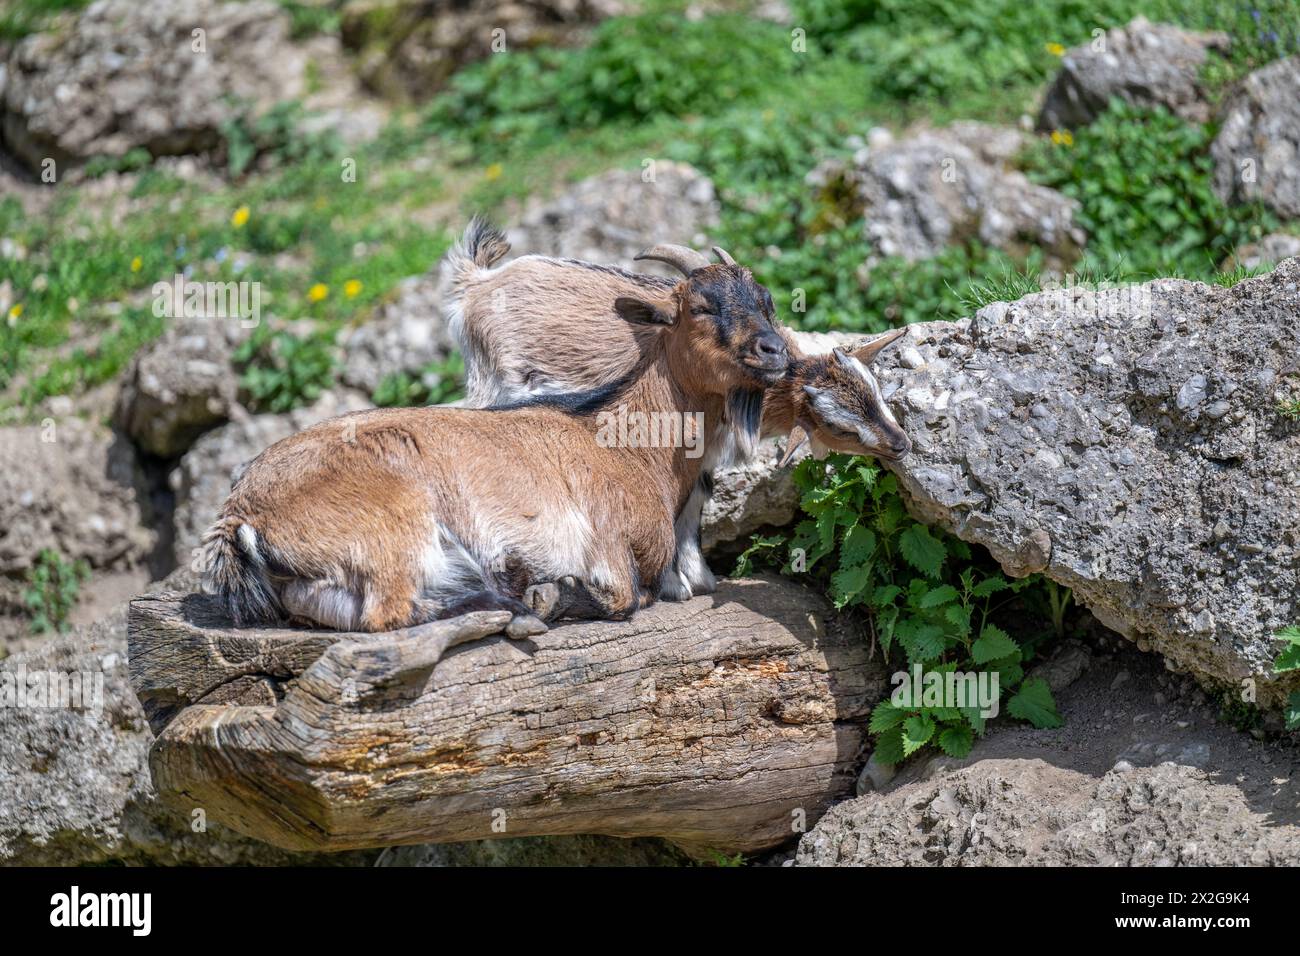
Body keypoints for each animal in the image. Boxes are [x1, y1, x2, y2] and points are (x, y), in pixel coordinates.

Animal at [199, 222, 789, 637]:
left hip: (321, 586)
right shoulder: (606, 546)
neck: (625, 443)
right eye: (700, 306)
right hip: (394, 526)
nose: (775, 350)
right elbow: (625, 598)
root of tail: (241, 515)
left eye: (767, 302)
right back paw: (515, 605)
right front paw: (554, 594)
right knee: (391, 611)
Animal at [442, 226, 911, 598]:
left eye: (768, 301)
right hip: (494, 386)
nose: (901, 444)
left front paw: (698, 577)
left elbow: (696, 495)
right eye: (701, 308)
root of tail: (477, 282)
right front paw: (674, 583)